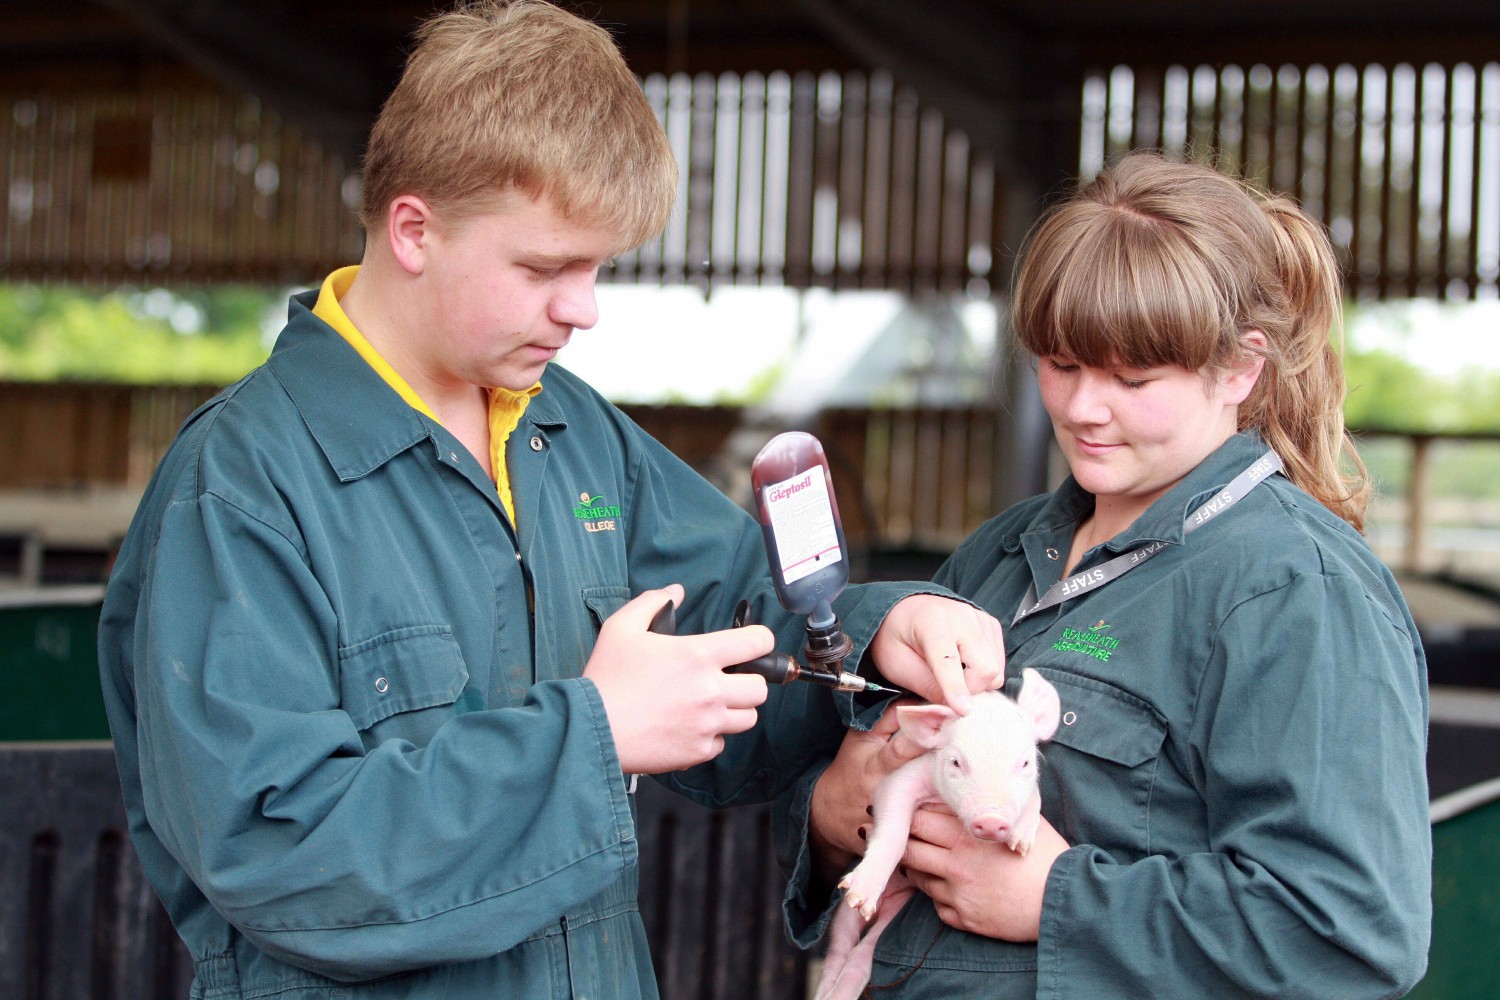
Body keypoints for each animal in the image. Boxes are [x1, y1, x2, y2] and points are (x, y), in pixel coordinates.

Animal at [814, 668, 1061, 1000]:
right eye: (956, 762)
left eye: (1024, 762)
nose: (992, 819)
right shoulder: (903, 776)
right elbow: (893, 823)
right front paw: (861, 893)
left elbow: (1036, 799)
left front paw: (1020, 845)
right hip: (841, 912)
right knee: (840, 945)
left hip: (899, 909)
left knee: (864, 953)